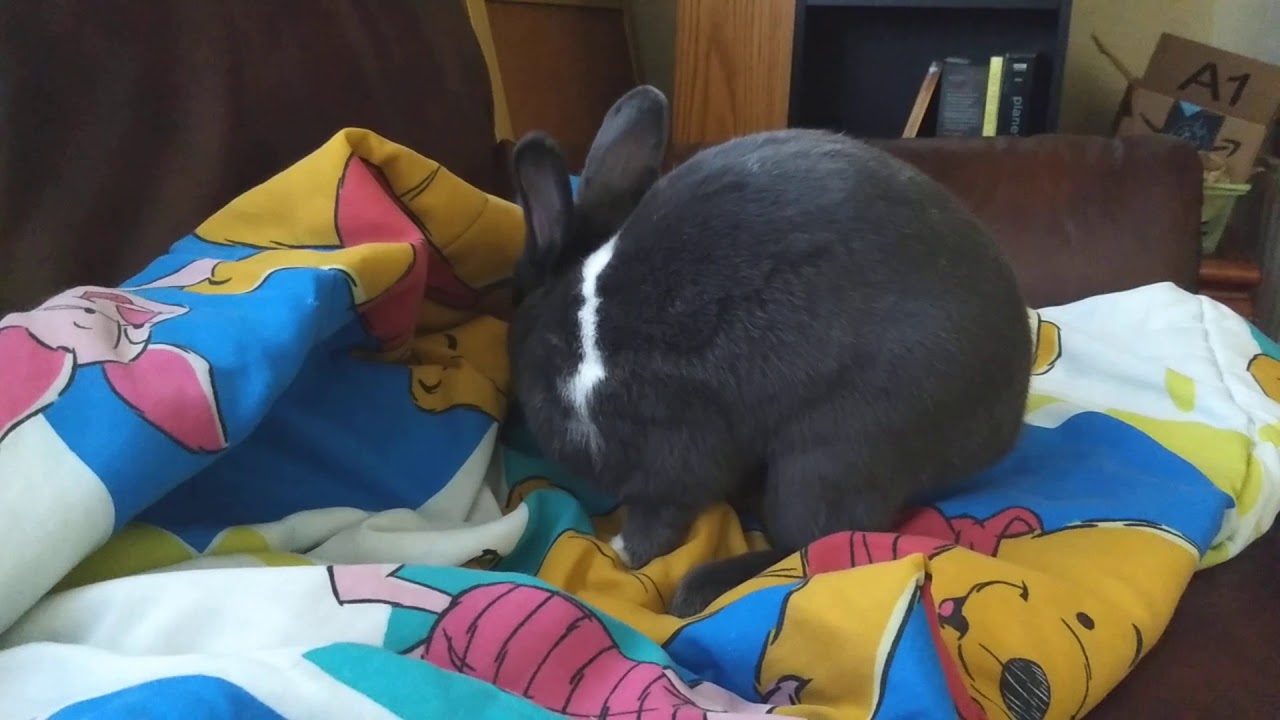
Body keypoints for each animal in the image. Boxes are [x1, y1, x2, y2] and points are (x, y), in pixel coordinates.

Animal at [506, 85, 1032, 619]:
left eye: (514, 298)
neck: (575, 319)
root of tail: (1003, 430)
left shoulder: (670, 457)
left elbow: (660, 518)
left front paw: (620, 551)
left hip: (829, 455)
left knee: (813, 540)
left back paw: (700, 588)